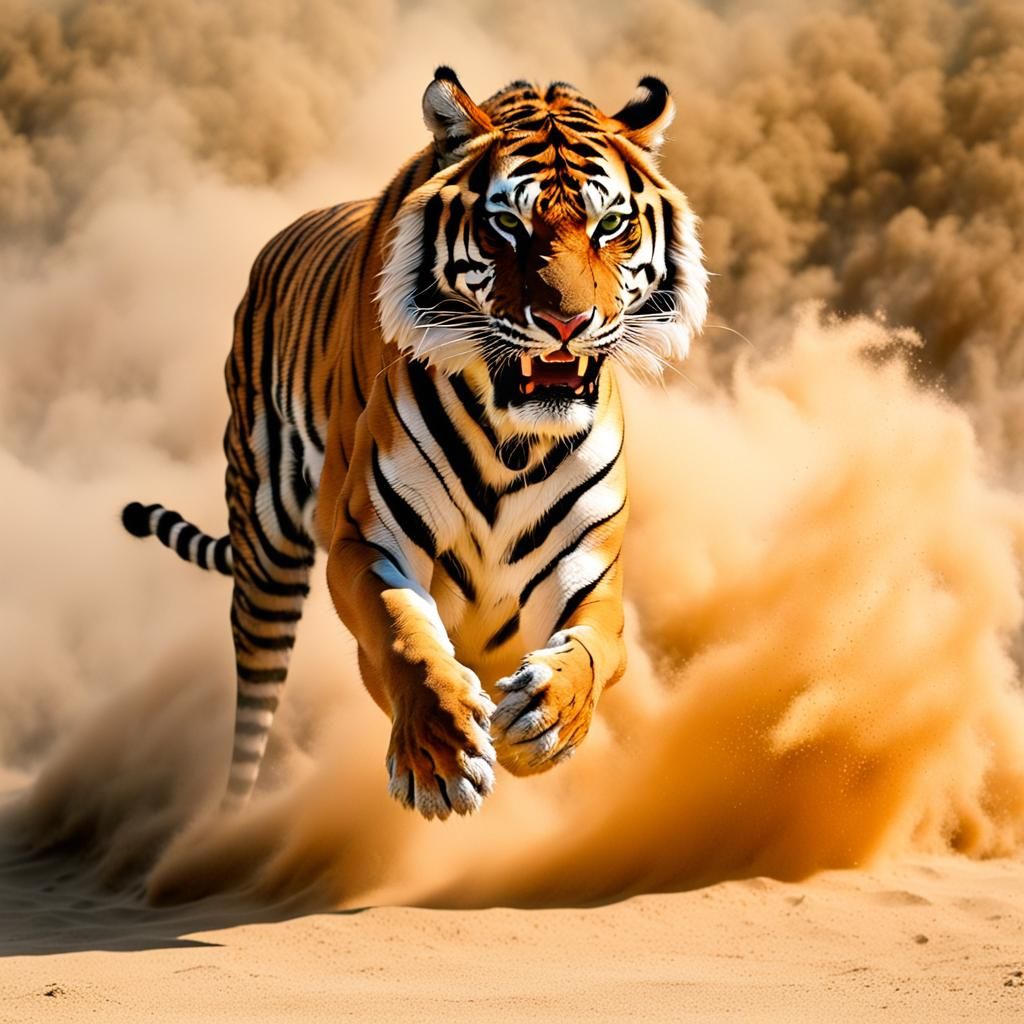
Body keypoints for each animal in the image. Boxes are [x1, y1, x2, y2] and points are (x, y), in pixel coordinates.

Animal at [122, 67, 708, 820]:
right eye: (506, 224)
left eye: (610, 224)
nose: (567, 322)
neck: (514, 433)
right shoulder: (367, 538)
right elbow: (405, 637)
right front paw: (440, 757)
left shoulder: (589, 565)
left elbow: (593, 646)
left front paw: (546, 720)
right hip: (264, 550)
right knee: (252, 708)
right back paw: (227, 824)